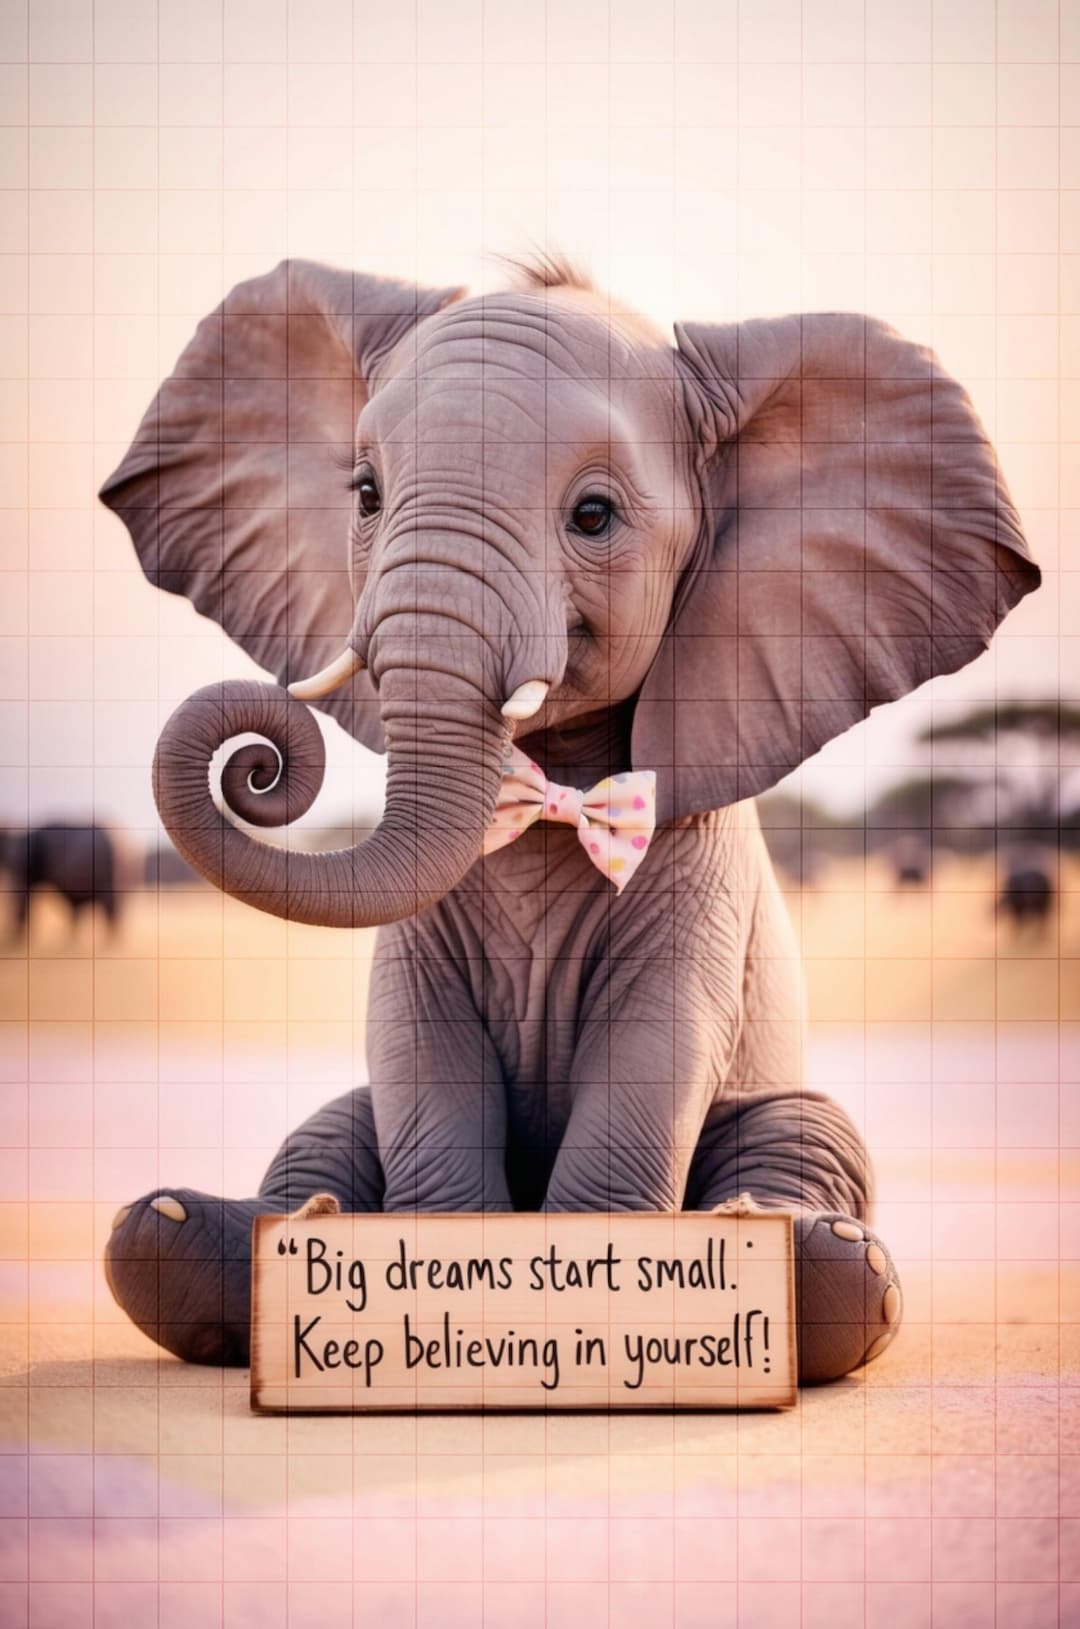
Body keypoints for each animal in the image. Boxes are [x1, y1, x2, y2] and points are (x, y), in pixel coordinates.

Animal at [98, 256, 1038, 1384]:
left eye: (594, 516)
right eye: (364, 495)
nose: (259, 759)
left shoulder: (701, 867)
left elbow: (654, 1046)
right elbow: (416, 1042)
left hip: (786, 1102)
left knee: (811, 1134)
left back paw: (811, 1248)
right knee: (333, 1123)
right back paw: (193, 1223)